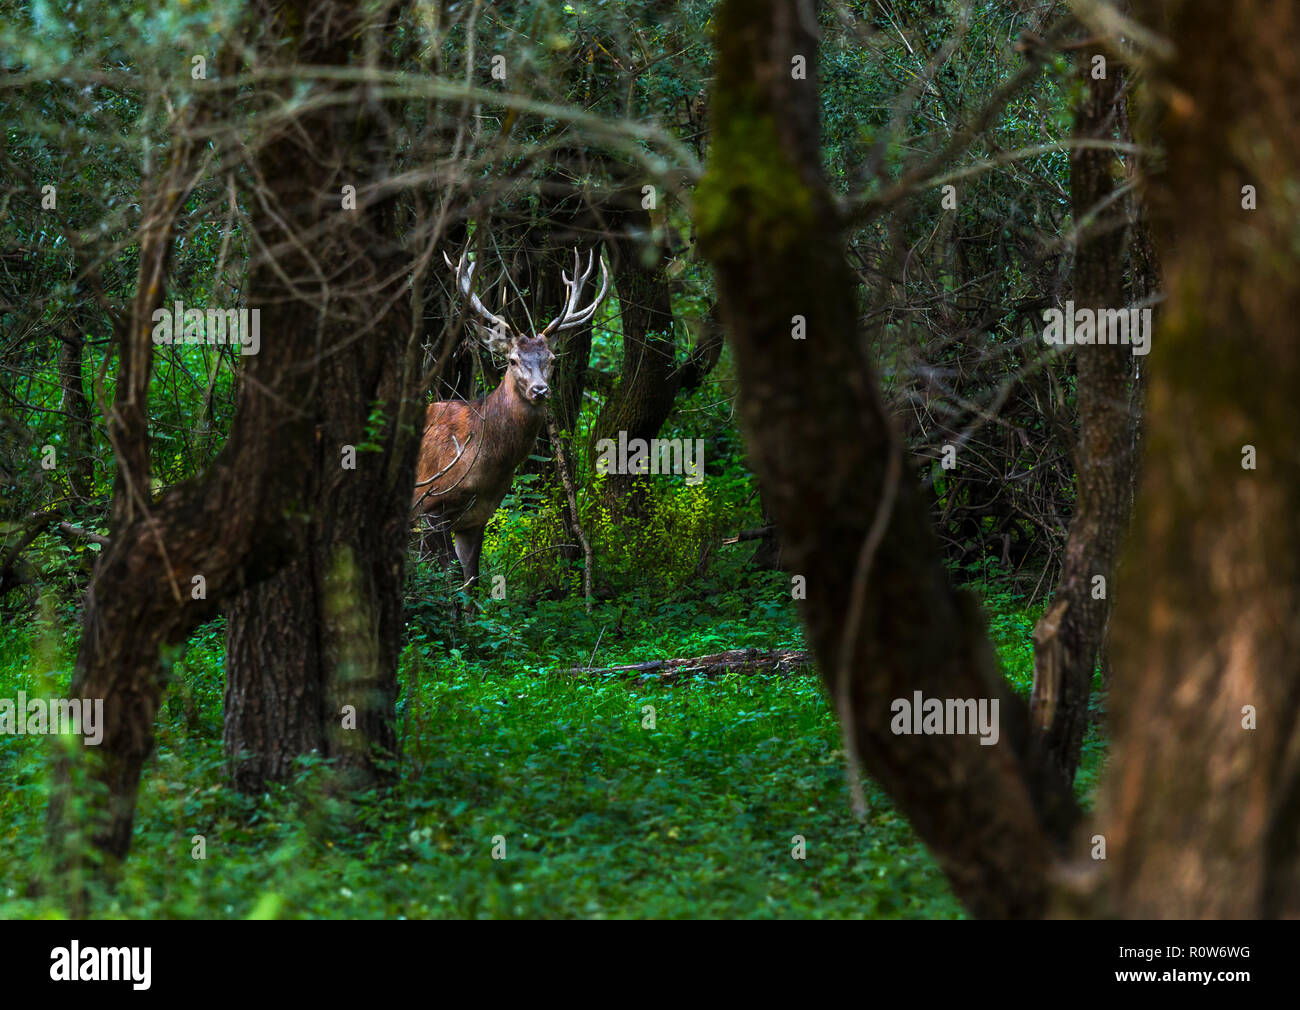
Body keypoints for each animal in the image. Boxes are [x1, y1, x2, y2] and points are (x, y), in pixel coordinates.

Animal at [413, 246, 610, 592]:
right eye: (514, 359)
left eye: (552, 359)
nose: (540, 389)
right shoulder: (431, 504)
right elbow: (449, 577)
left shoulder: (478, 516)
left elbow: (472, 579)